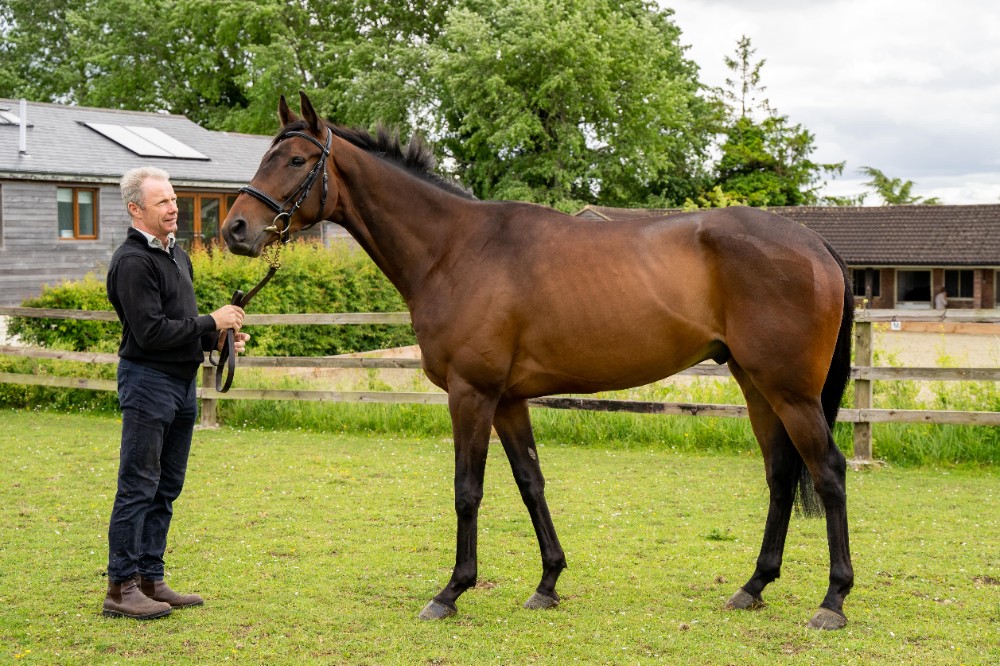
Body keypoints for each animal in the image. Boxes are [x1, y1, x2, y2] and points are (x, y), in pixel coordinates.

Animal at [222, 92, 855, 630]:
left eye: (297, 159)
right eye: (266, 156)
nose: (236, 229)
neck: (454, 250)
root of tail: (814, 244)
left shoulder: (471, 393)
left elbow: (468, 489)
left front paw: (451, 591)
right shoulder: (508, 399)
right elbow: (531, 483)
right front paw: (548, 582)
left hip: (790, 391)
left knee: (827, 471)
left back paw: (833, 600)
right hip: (756, 383)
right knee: (780, 473)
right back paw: (754, 585)